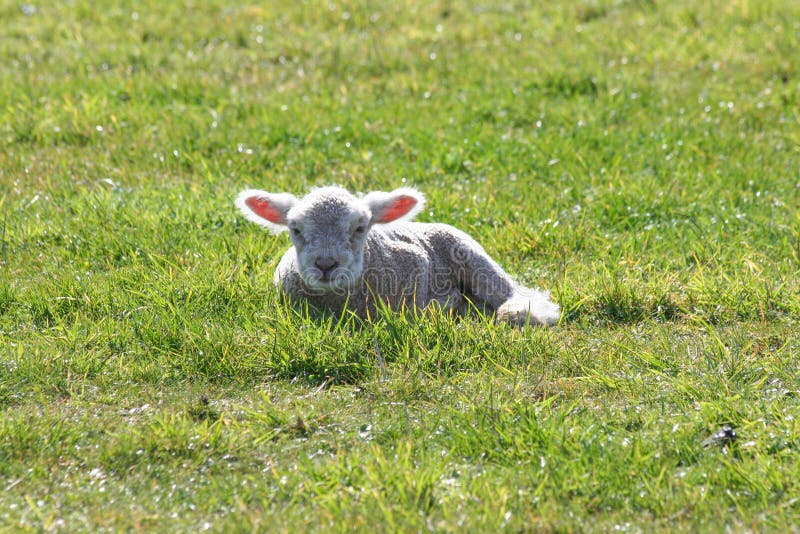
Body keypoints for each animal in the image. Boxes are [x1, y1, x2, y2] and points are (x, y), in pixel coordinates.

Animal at [235, 186, 559, 326]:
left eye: (360, 228)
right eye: (295, 229)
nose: (326, 265)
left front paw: (440, 307)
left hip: (468, 254)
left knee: (506, 290)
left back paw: (516, 311)